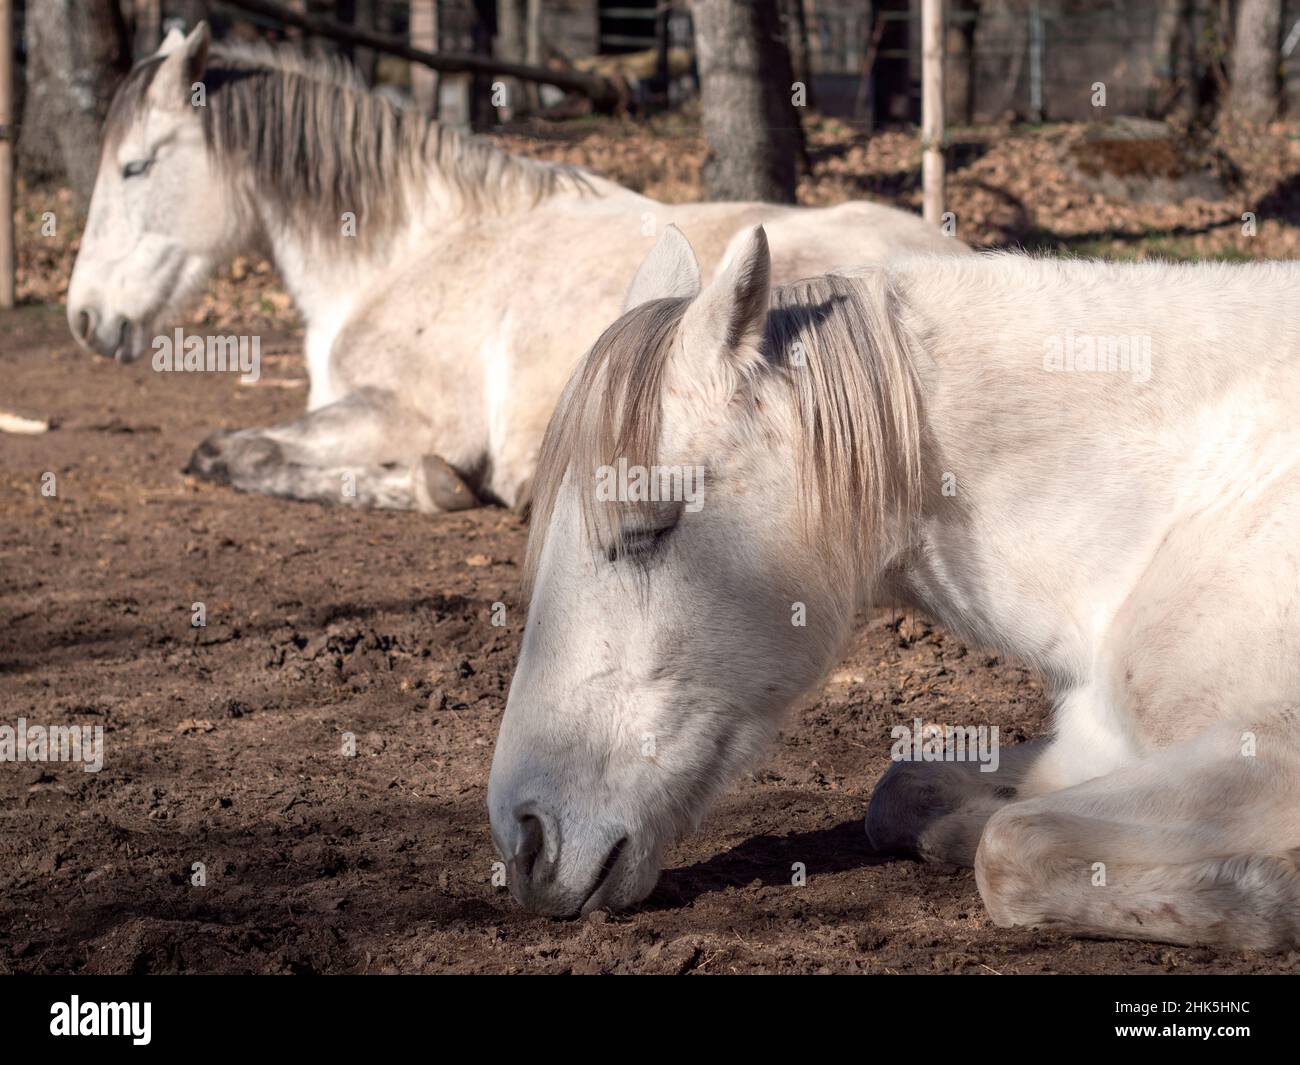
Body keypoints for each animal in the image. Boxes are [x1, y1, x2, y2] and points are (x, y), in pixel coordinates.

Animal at [66, 22, 968, 514]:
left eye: (135, 167)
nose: (83, 317)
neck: (408, 248)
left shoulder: (405, 415)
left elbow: (235, 453)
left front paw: (437, 485)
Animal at [488, 223, 1300, 949]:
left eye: (646, 529)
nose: (523, 841)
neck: (1195, 495)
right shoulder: (1098, 739)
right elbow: (909, 795)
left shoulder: (1265, 751)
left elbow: (1014, 845)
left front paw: (1271, 896)